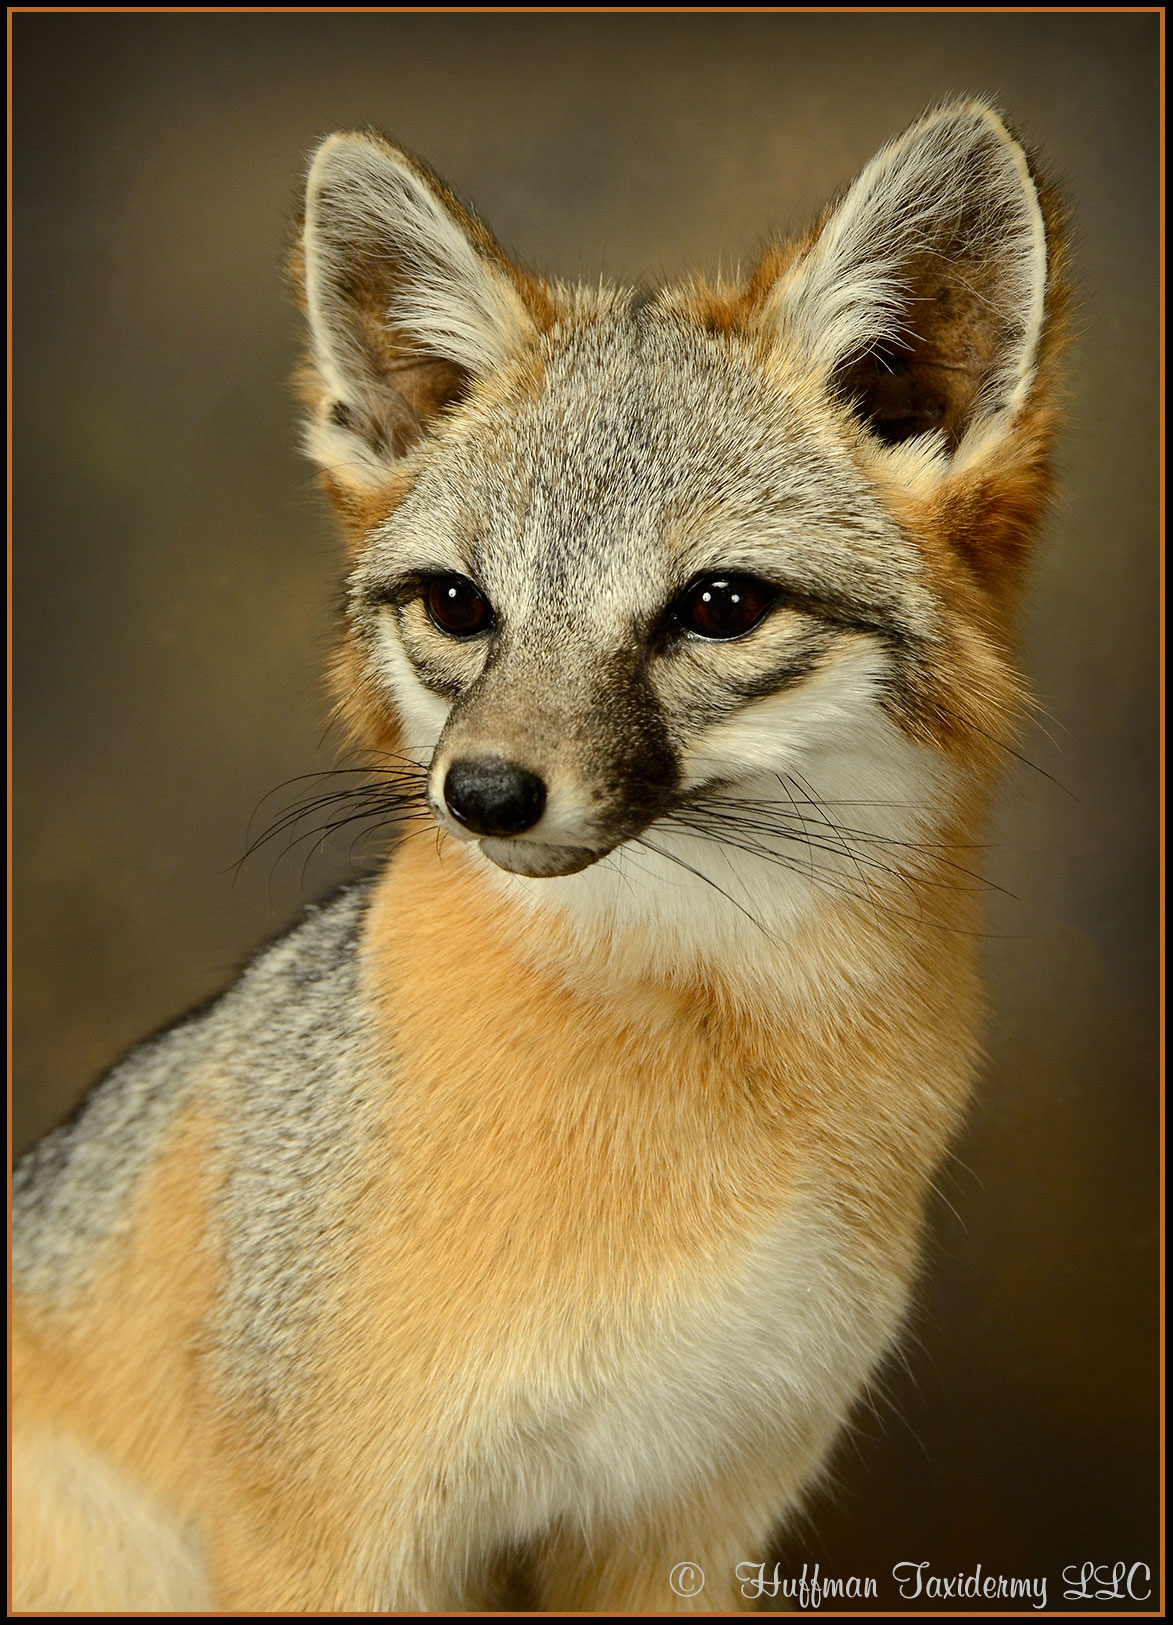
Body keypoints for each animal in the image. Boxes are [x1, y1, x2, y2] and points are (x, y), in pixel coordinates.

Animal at [12, 100, 1067, 1613]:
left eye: (720, 605)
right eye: (459, 605)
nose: (484, 793)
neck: (698, 1066)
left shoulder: (687, 1530)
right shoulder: (336, 1545)